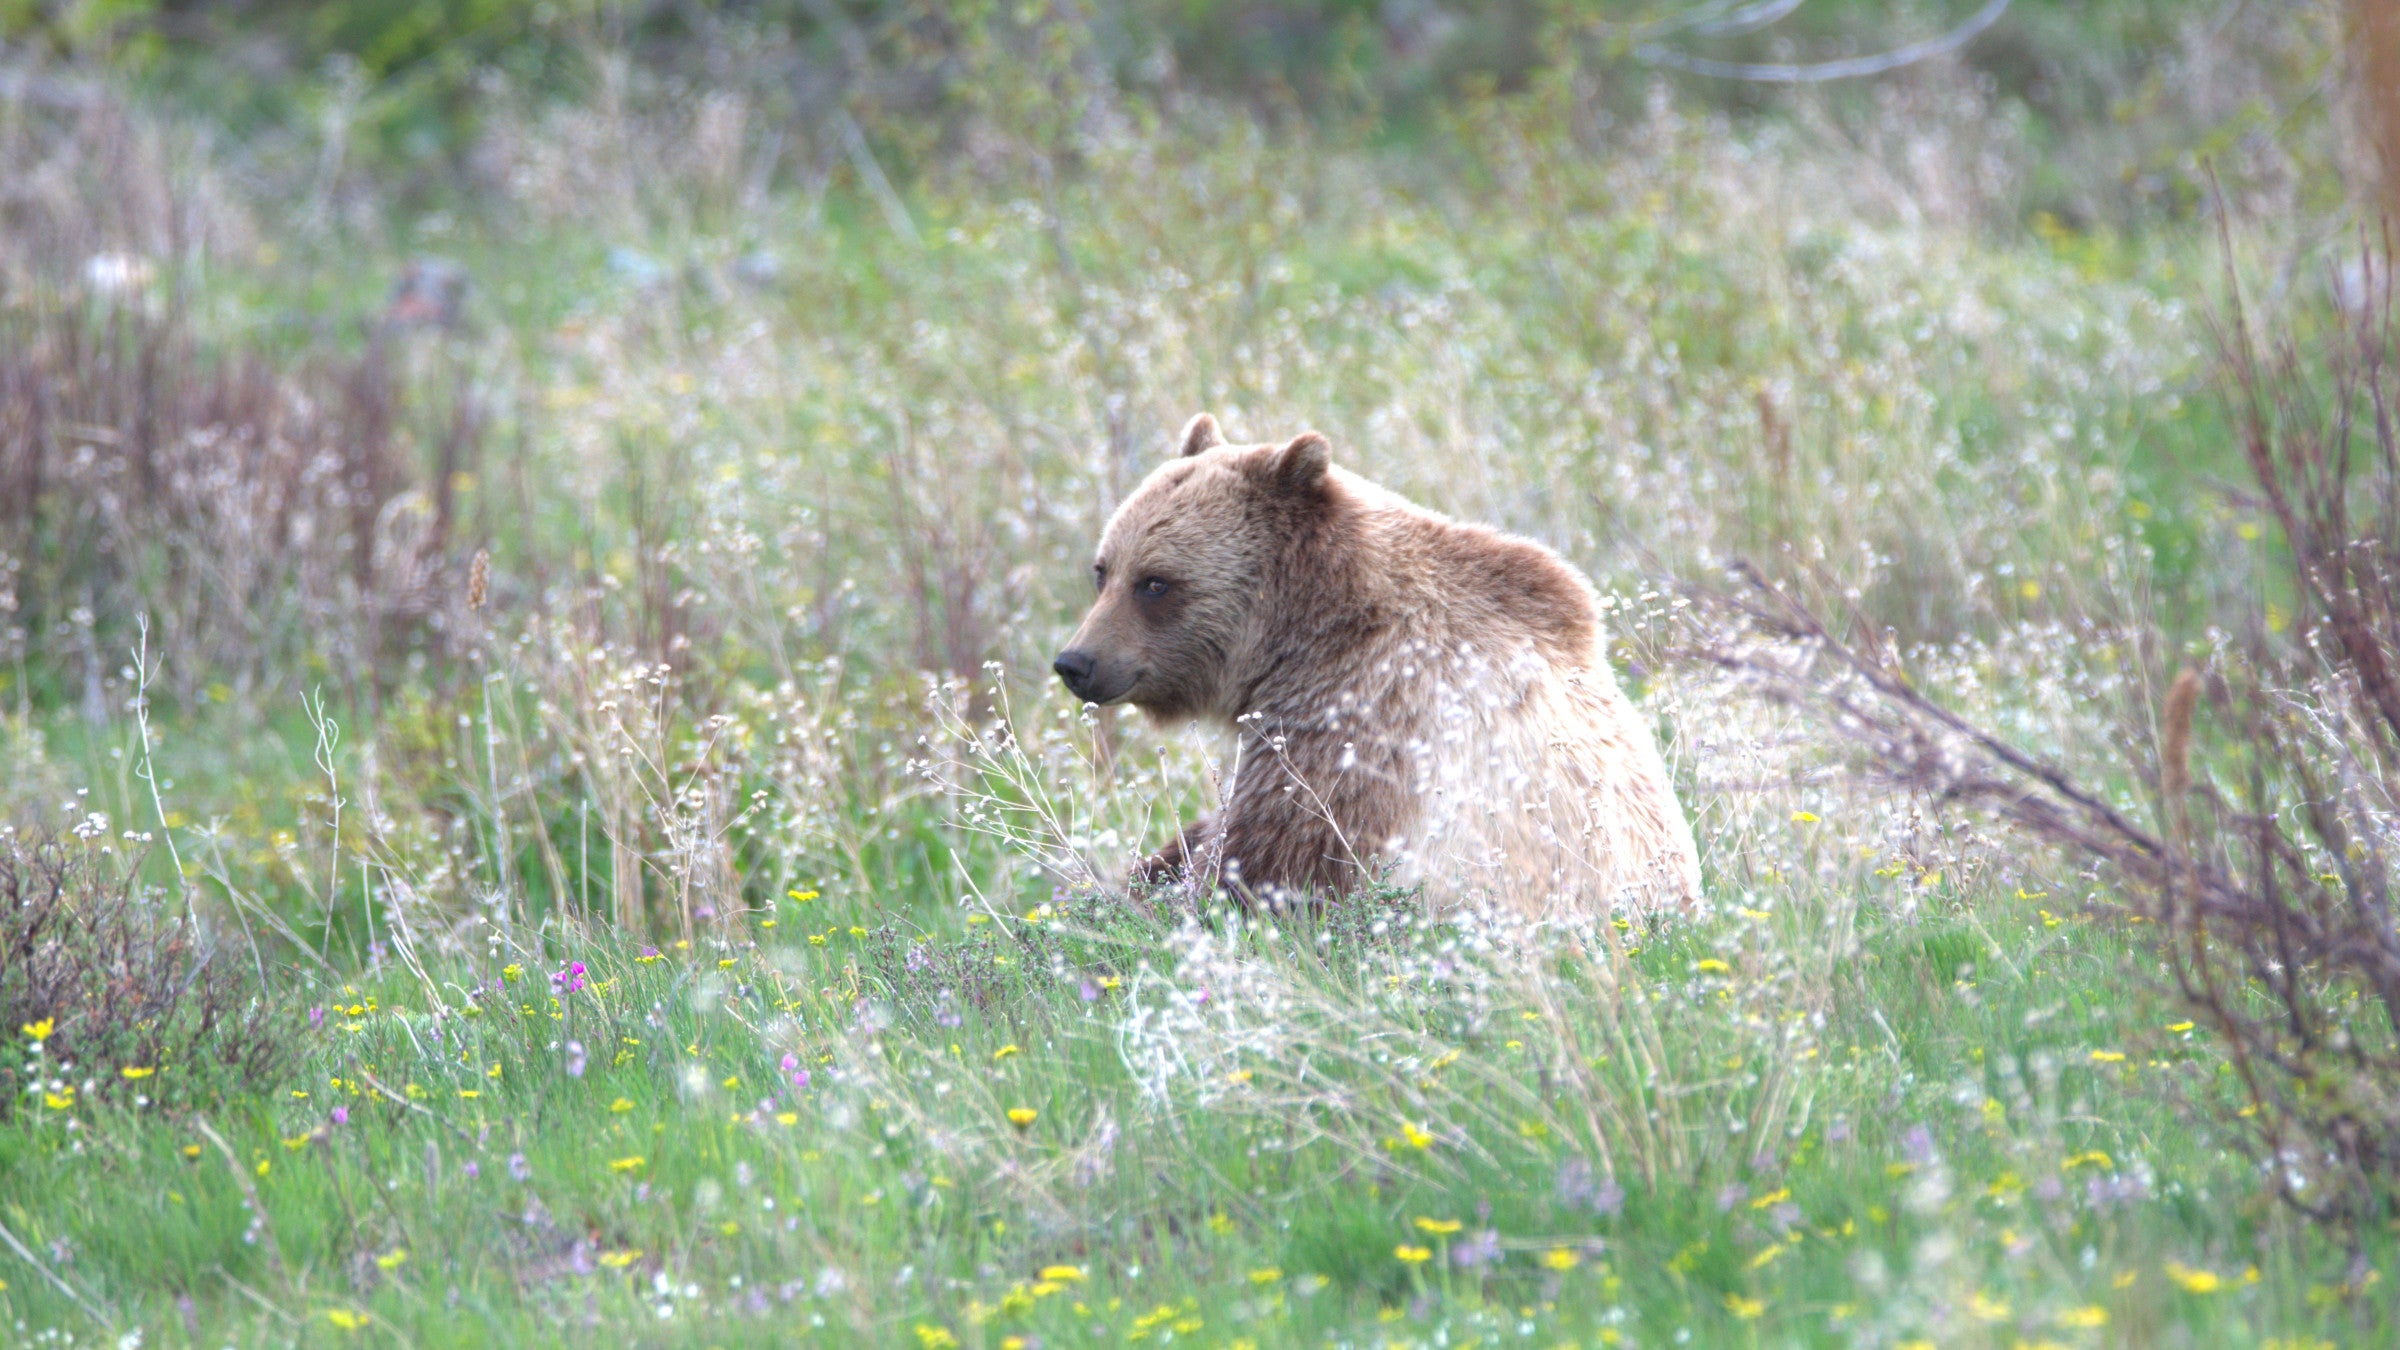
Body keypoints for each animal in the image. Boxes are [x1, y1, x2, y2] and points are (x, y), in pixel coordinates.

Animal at [1051, 413, 1703, 920]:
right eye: (1103, 570)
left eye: (1156, 582)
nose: (1075, 662)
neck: (1308, 629)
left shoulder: (1356, 723)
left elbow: (1262, 856)